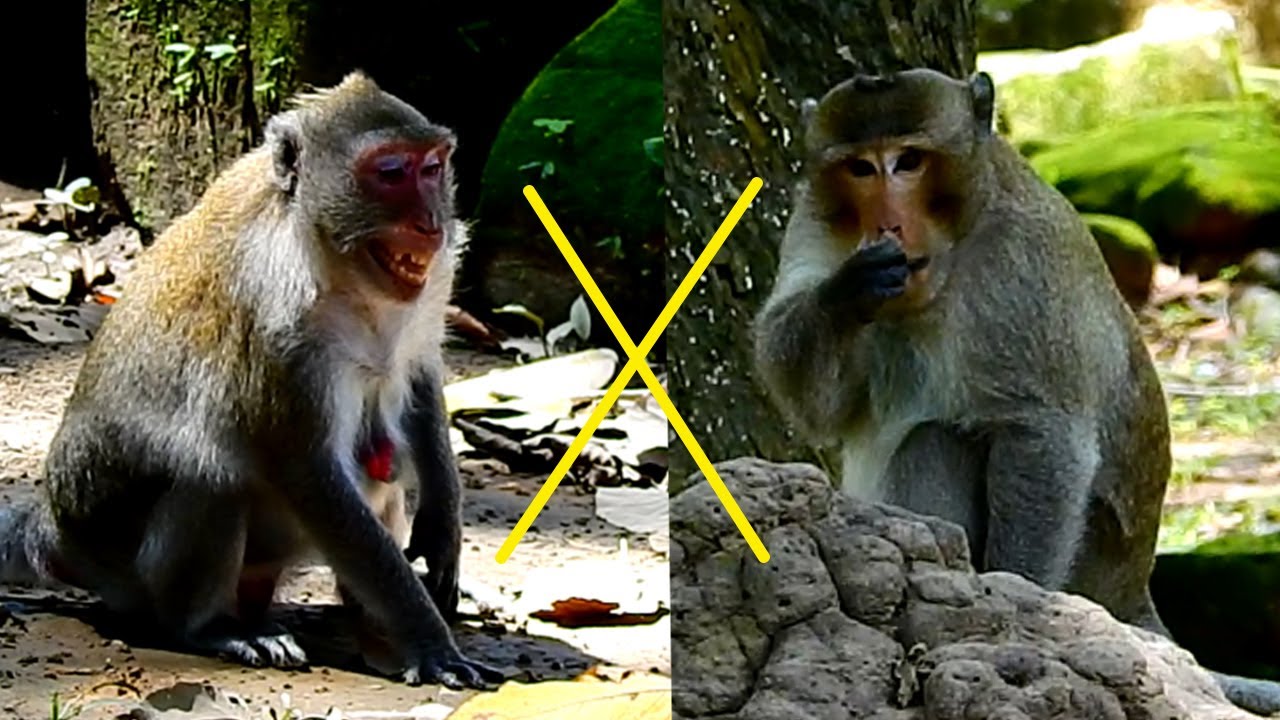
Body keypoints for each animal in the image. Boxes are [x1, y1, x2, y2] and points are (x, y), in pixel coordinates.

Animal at [0, 72, 502, 689]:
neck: (332, 262)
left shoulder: (432, 286)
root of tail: (54, 526)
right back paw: (212, 629)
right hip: (122, 567)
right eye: (390, 172)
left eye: (431, 168)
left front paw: (441, 532)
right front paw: (429, 640)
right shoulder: (279, 327)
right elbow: (310, 475)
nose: (431, 223)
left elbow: (418, 382)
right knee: (208, 477)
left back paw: (366, 625)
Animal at [753, 67, 1280, 716]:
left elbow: (1041, 433)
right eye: (860, 168)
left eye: (909, 161)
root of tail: (1134, 593)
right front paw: (847, 291)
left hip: (1092, 561)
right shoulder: (814, 219)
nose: (887, 225)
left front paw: (1014, 602)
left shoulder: (1022, 260)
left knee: (939, 440)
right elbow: (822, 410)